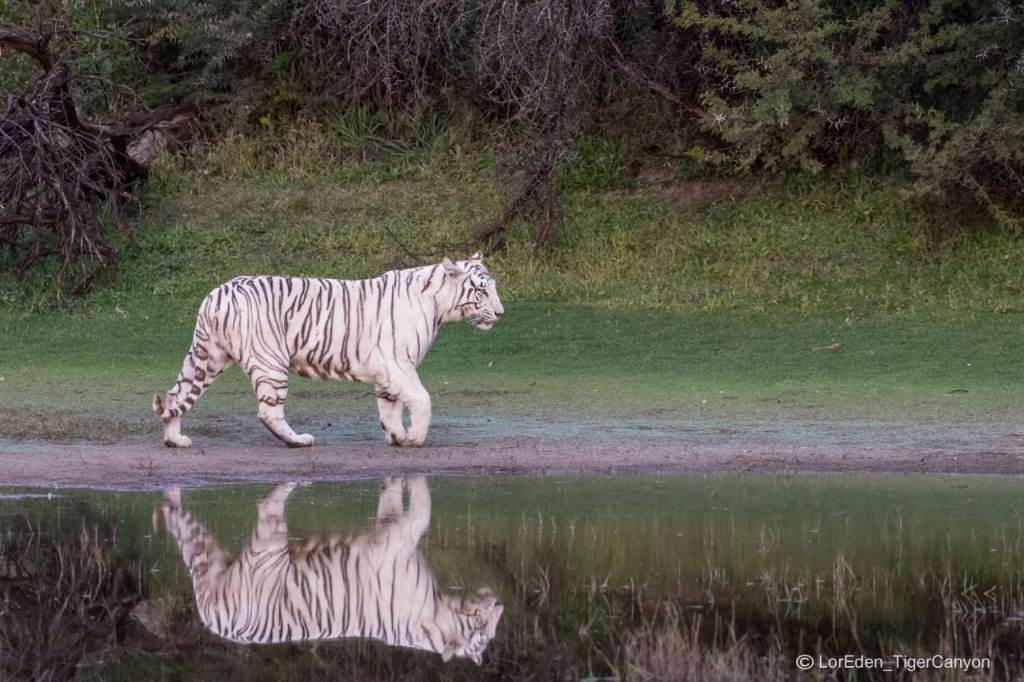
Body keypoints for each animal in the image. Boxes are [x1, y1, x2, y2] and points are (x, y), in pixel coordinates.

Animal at [151, 253, 503, 448]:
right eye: (482, 291)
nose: (500, 313)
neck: (439, 306)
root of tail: (218, 294)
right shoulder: (398, 364)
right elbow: (421, 400)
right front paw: (415, 438)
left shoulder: (387, 372)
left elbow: (389, 409)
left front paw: (397, 438)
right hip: (270, 361)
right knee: (268, 412)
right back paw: (298, 441)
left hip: (207, 357)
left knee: (176, 396)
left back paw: (175, 440)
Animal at [154, 477, 504, 664]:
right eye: (482, 629)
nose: (501, 604)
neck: (437, 612)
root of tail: (213, 617)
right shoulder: (397, 541)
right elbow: (423, 510)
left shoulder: (389, 528)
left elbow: (392, 500)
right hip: (270, 539)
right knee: (267, 506)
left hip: (214, 564)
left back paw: (168, 508)